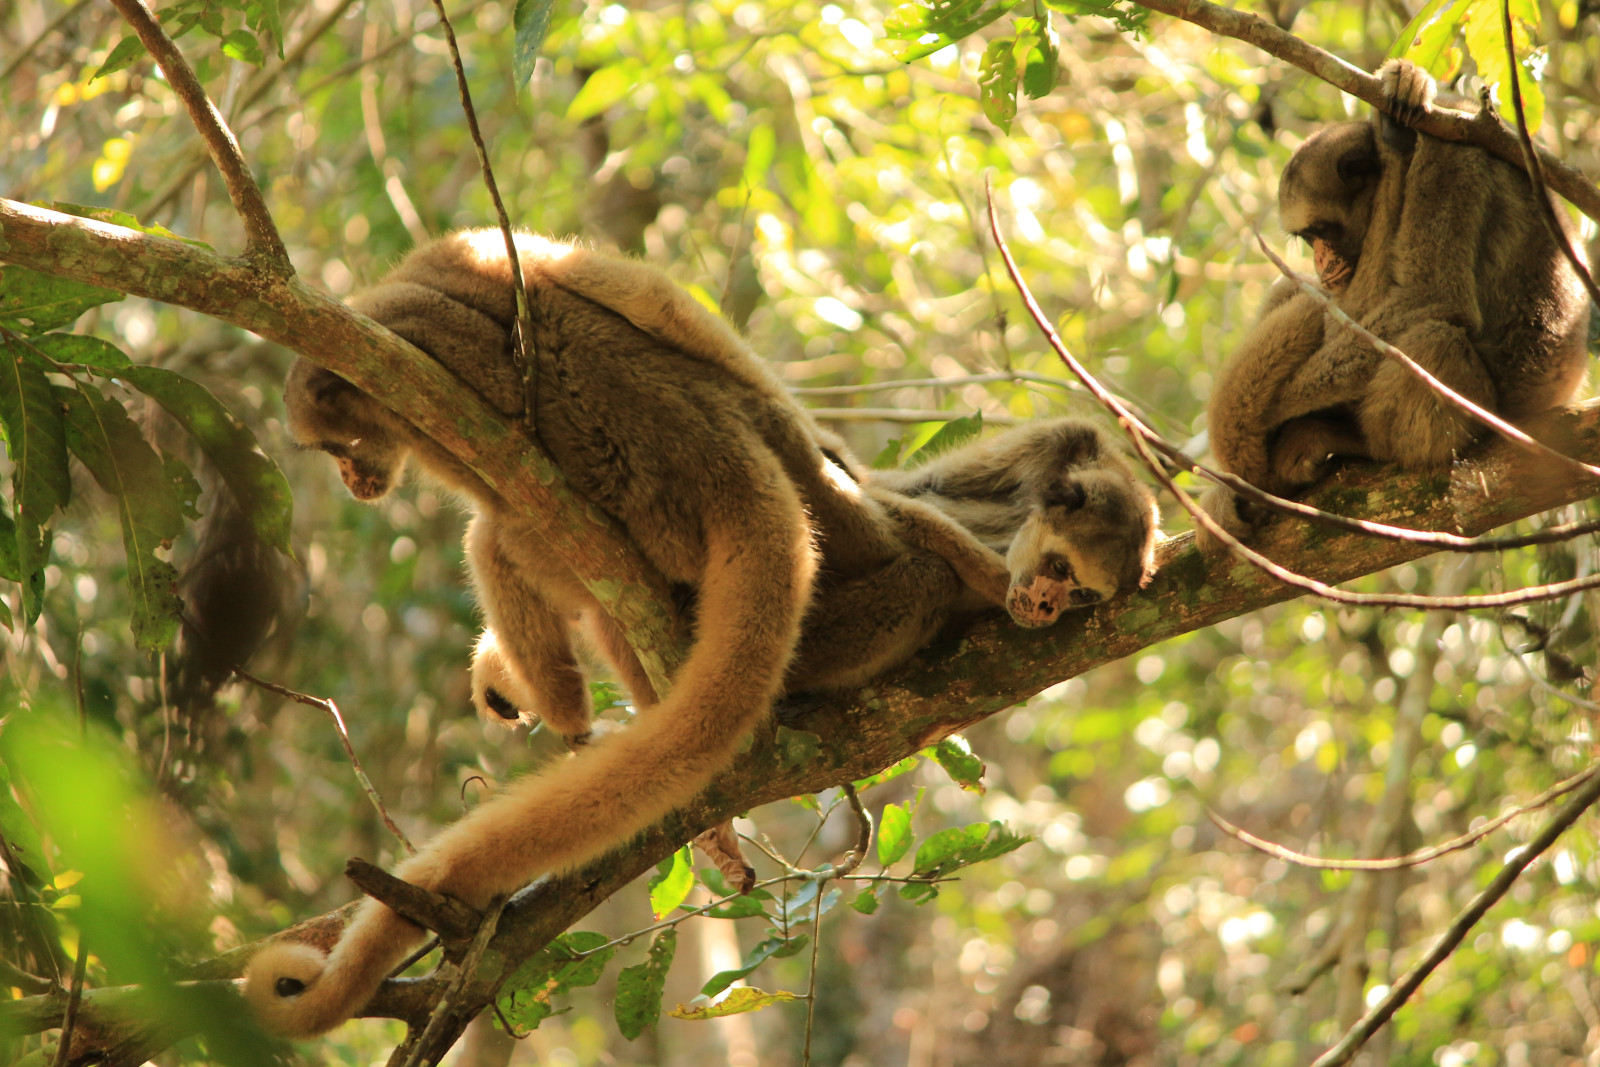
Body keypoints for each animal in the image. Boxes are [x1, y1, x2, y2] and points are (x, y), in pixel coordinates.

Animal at [249, 230, 1146, 1037]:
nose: (355, 481)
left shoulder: (417, 345)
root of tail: (728, 464)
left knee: (504, 529)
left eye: (339, 448)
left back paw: (570, 702)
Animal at [1199, 58, 1591, 548]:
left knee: (1434, 339)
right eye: (1307, 239)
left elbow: (1429, 296)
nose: (1321, 262)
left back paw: (1351, 441)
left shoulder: (1450, 147)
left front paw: (1267, 421)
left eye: (1322, 232)